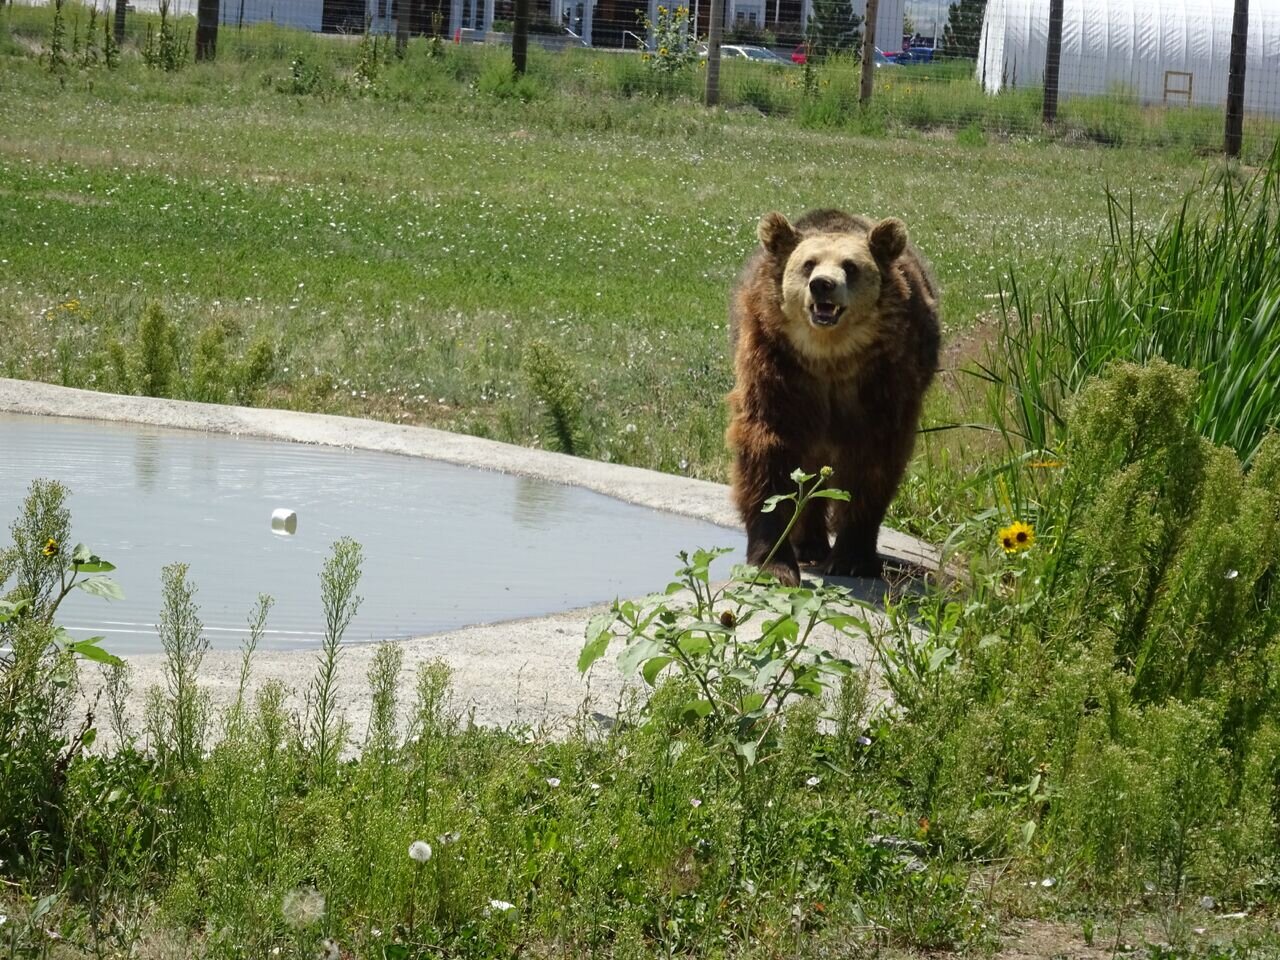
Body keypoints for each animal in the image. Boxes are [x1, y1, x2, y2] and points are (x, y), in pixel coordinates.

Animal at [725, 208, 940, 586]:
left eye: (850, 266)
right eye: (808, 263)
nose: (822, 284)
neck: (829, 358)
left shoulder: (882, 380)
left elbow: (872, 463)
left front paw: (852, 559)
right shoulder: (776, 367)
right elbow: (766, 451)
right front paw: (774, 562)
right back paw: (808, 545)